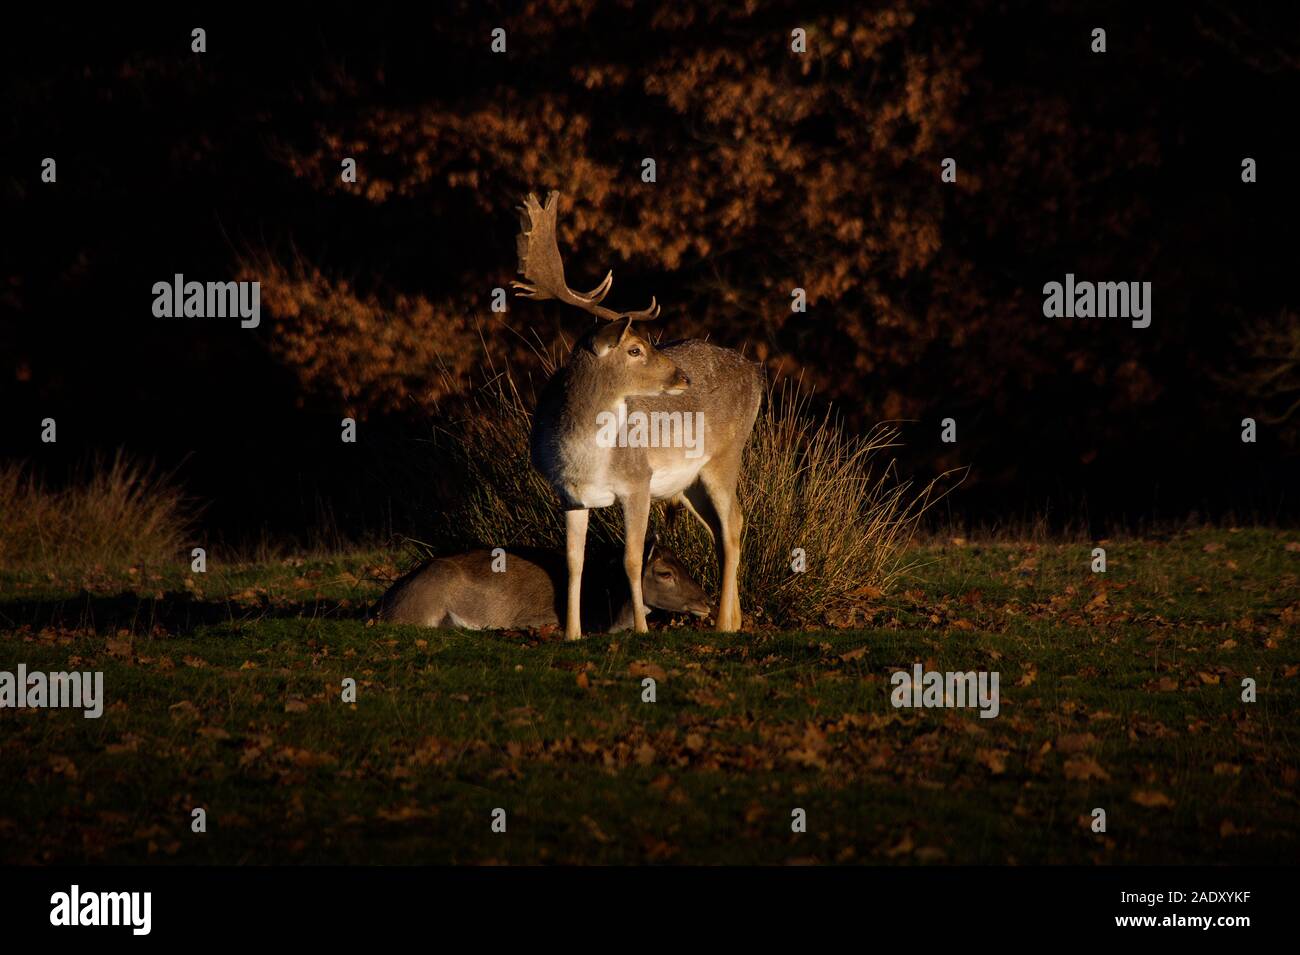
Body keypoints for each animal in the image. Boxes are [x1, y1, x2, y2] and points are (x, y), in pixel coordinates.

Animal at [513, 191, 763, 639]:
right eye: (635, 349)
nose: (682, 376)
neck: (581, 457)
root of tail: (757, 373)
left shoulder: (638, 481)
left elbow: (631, 559)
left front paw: (641, 631)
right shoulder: (568, 494)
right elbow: (573, 563)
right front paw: (571, 634)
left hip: (725, 456)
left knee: (733, 526)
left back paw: (722, 625)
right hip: (689, 482)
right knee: (723, 527)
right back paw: (733, 621)